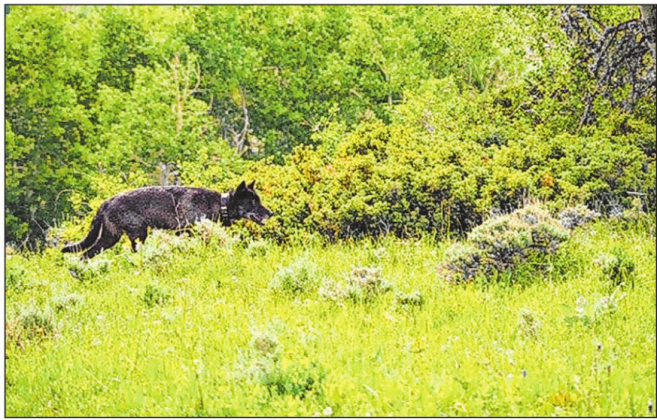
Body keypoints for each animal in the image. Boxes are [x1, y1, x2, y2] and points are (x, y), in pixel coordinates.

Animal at [62, 181, 272, 259]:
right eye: (253, 202)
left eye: (259, 200)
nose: (271, 214)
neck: (219, 203)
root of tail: (106, 202)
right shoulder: (185, 231)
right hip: (137, 234)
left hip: (109, 238)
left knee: (85, 254)